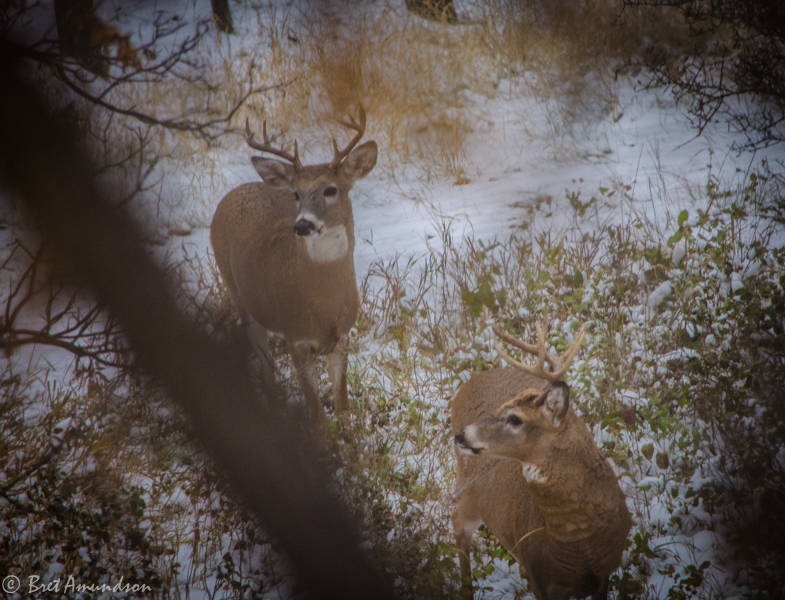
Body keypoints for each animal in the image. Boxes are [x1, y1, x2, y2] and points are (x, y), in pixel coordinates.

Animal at [210, 107, 377, 433]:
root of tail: (237, 190)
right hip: (239, 294)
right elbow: (317, 417)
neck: (323, 303)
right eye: (297, 194)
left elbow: (343, 407)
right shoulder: (295, 337)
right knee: (266, 368)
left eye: (331, 189)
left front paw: (352, 443)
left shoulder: (343, 335)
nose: (302, 225)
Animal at [451, 317, 632, 600]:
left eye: (515, 418)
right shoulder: (536, 575)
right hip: (469, 487)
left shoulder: (605, 572)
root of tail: (465, 386)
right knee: (458, 522)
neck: (581, 543)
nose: (461, 434)